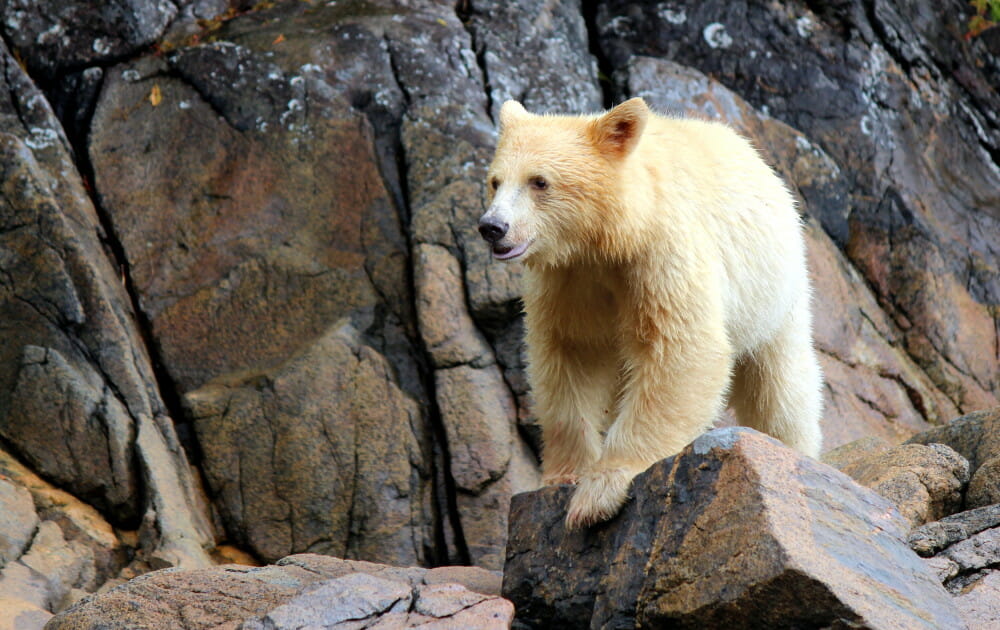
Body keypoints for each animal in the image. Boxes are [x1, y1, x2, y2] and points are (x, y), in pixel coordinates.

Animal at [478, 97, 823, 529]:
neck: (611, 238)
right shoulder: (568, 280)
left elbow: (682, 349)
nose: (492, 227)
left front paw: (599, 493)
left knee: (781, 386)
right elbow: (570, 355)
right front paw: (564, 475)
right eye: (495, 181)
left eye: (539, 181)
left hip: (775, 292)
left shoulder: (662, 253)